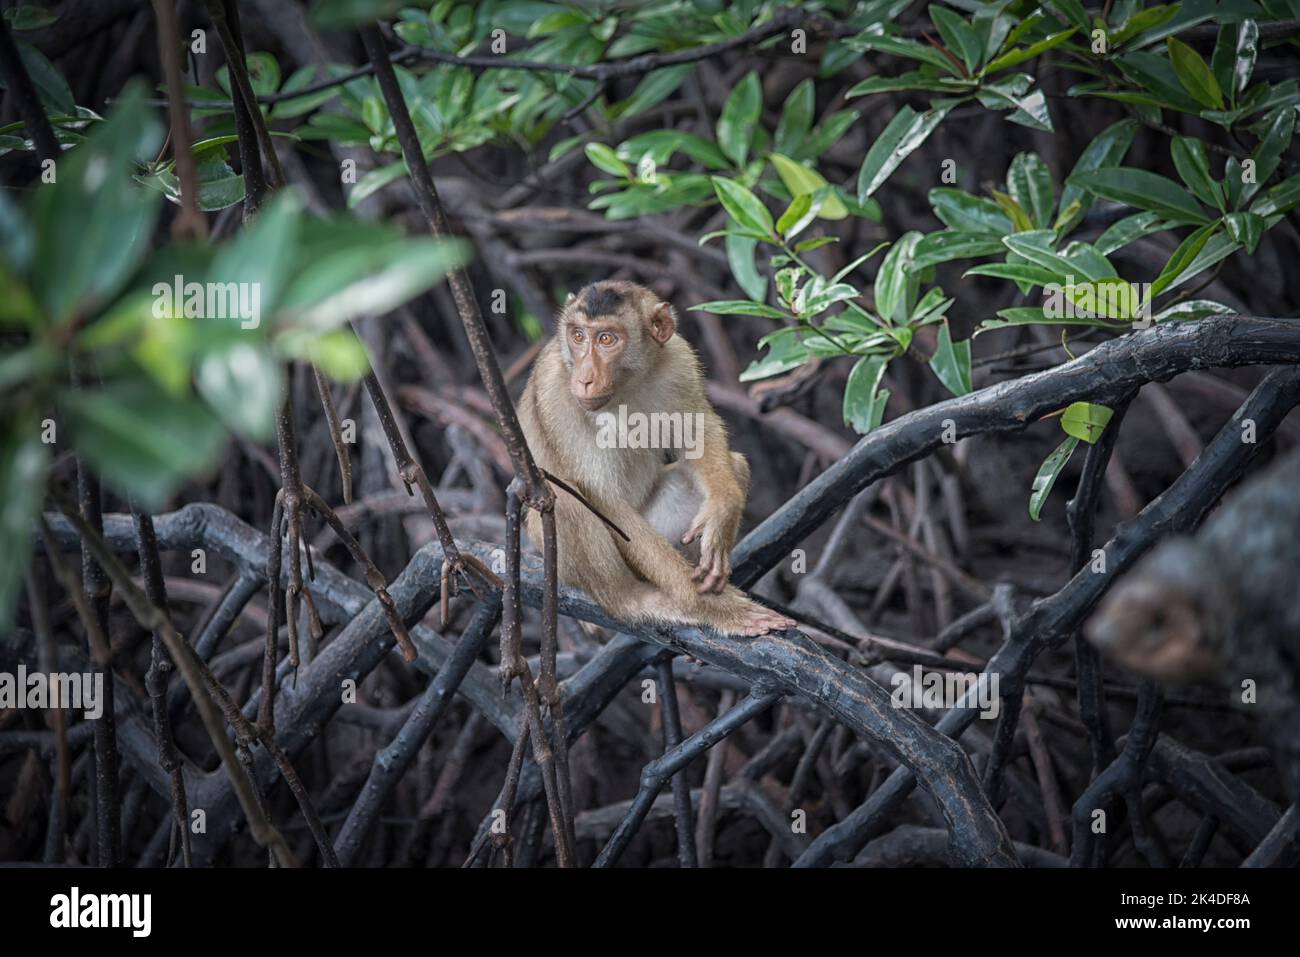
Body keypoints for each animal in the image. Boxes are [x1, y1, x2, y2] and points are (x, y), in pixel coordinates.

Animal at [517, 280, 794, 638]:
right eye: (577, 336)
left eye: (606, 339)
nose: (584, 378)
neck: (625, 387)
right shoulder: (555, 388)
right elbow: (605, 501)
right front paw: (712, 607)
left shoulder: (679, 360)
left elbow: (698, 433)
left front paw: (723, 507)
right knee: (566, 500)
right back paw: (631, 598)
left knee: (735, 465)